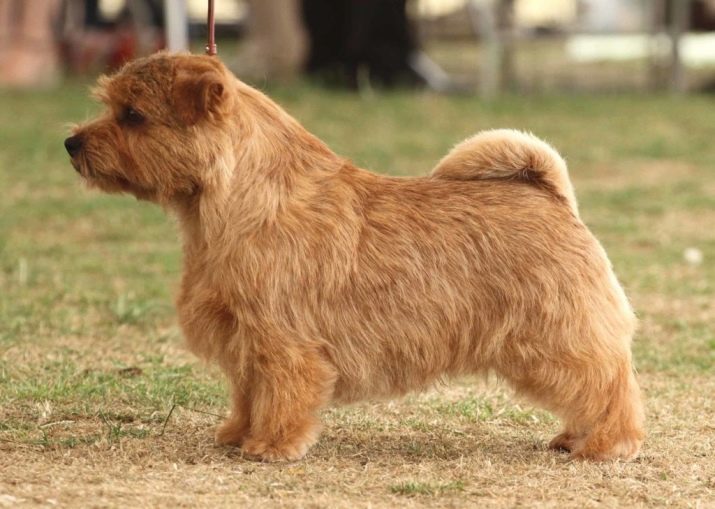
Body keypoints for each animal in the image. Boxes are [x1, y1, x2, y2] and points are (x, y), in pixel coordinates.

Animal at [64, 51, 648, 460]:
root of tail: (550, 193)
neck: (232, 204)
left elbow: (281, 392)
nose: (71, 143)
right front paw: (237, 434)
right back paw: (574, 436)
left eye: (132, 115)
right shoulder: (243, 334)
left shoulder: (282, 338)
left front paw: (272, 445)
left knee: (608, 383)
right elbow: (248, 391)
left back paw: (606, 444)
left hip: (556, 338)